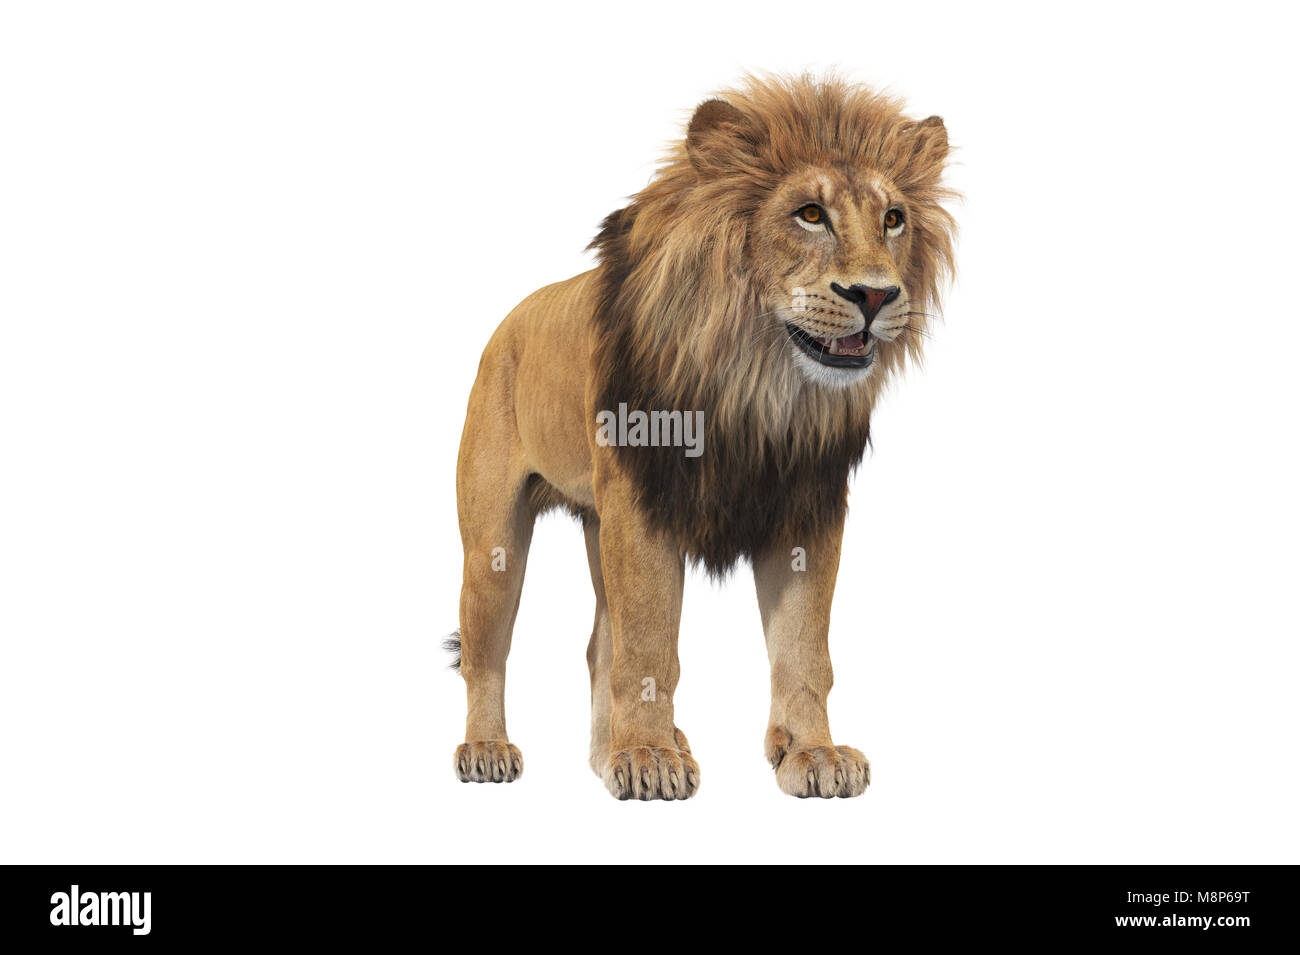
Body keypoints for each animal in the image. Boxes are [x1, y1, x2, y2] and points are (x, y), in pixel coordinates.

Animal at [450, 74, 956, 799]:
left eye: (894, 218)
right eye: (809, 214)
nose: (876, 296)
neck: (759, 386)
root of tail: (508, 321)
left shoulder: (808, 505)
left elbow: (804, 647)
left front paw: (813, 753)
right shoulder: (642, 500)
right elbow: (650, 643)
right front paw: (651, 757)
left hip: (599, 524)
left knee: (599, 646)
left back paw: (606, 753)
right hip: (492, 536)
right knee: (487, 645)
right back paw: (489, 749)